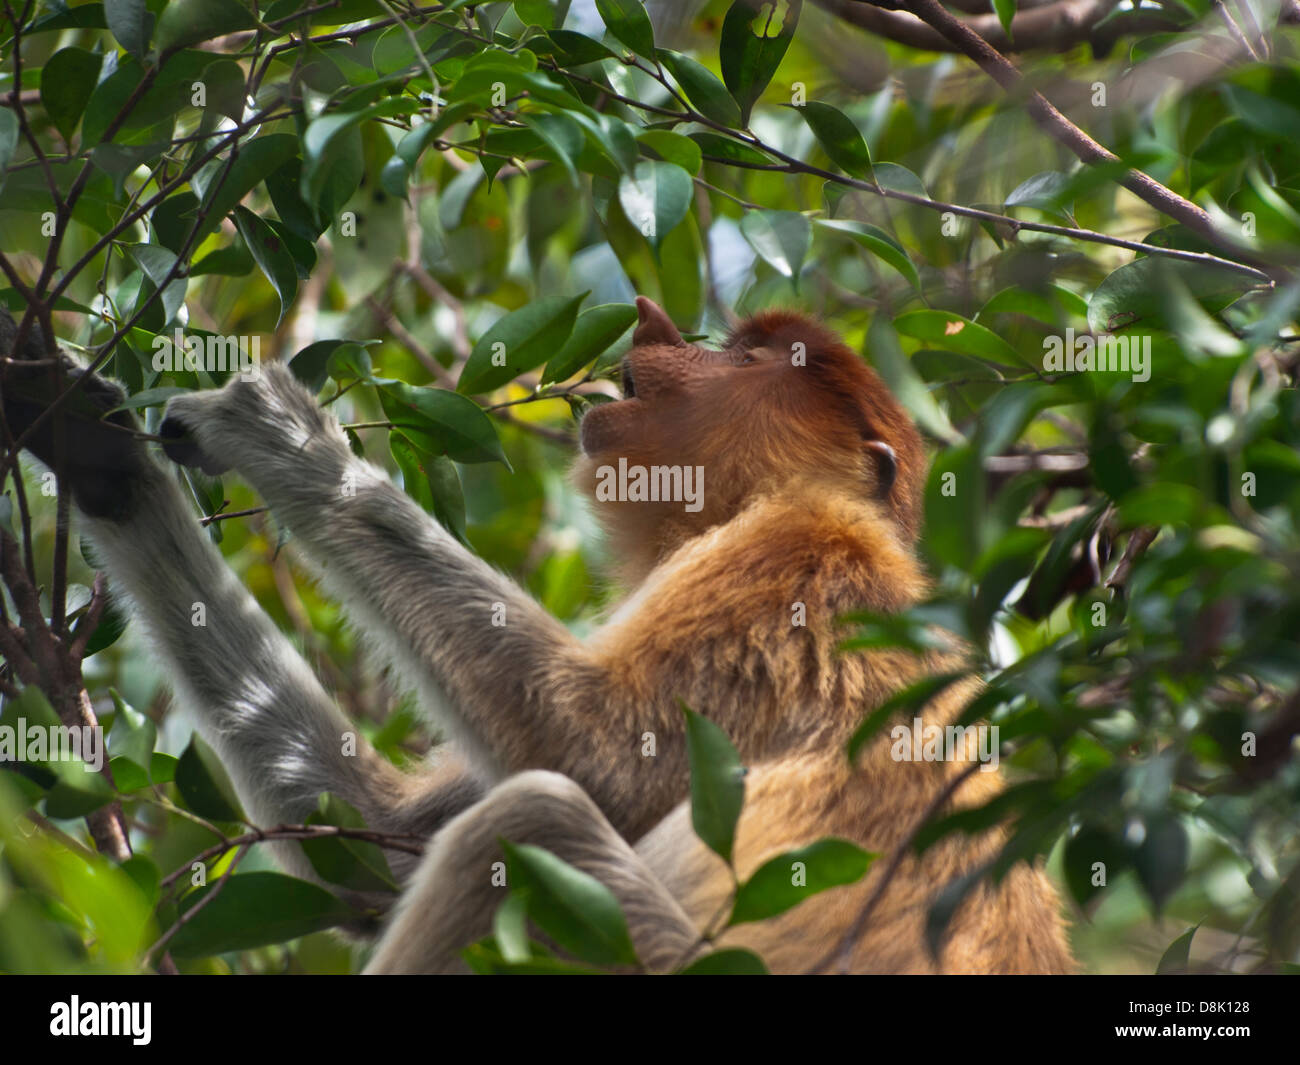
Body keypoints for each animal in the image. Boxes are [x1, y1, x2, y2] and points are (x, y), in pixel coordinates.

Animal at [0, 298, 1074, 973]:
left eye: (751, 356)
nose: (656, 326)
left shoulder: (790, 563)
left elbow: (588, 752)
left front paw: (275, 430)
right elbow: (376, 846)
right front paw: (85, 441)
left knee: (533, 818)